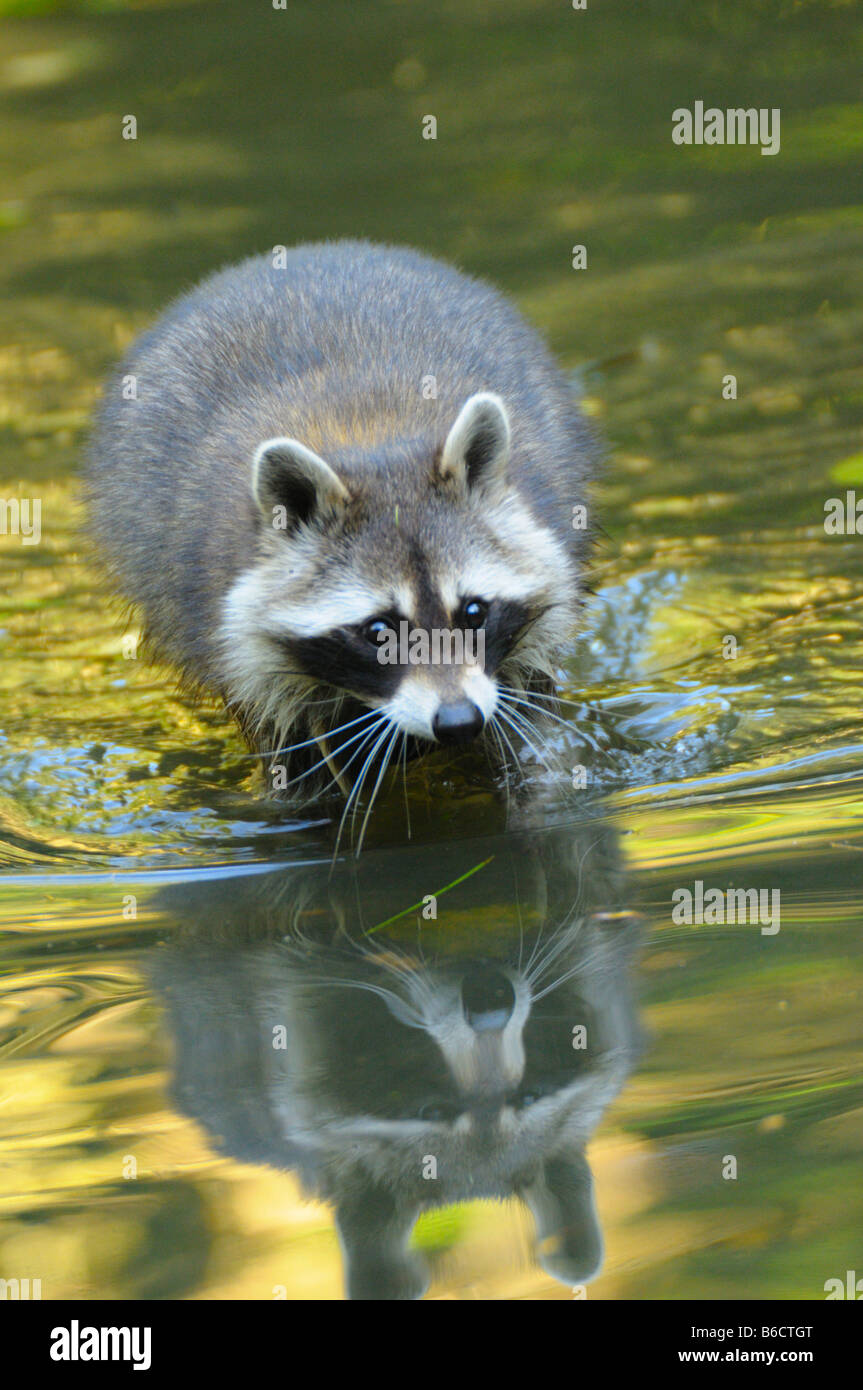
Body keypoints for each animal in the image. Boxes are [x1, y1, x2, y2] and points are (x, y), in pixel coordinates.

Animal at [85, 241, 595, 813]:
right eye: (378, 632)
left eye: (473, 612)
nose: (458, 721)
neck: (373, 445)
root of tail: (315, 251)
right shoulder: (243, 656)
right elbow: (296, 770)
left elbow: (531, 729)